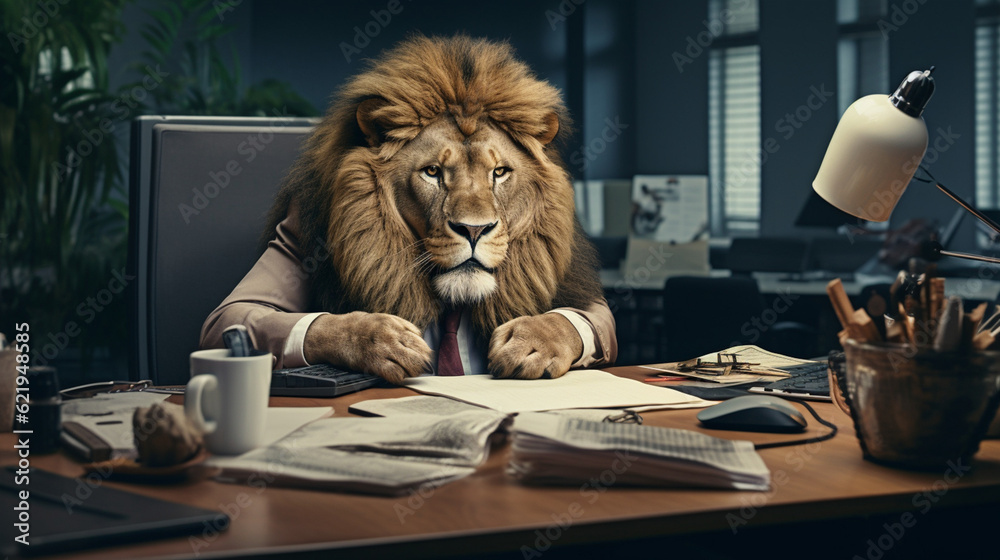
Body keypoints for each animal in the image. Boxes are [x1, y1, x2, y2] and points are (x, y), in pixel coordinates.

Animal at [206, 35, 615, 383]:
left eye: (499, 172)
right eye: (432, 172)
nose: (474, 230)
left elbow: (582, 318)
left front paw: (532, 339)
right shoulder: (288, 238)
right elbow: (248, 311)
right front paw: (381, 338)